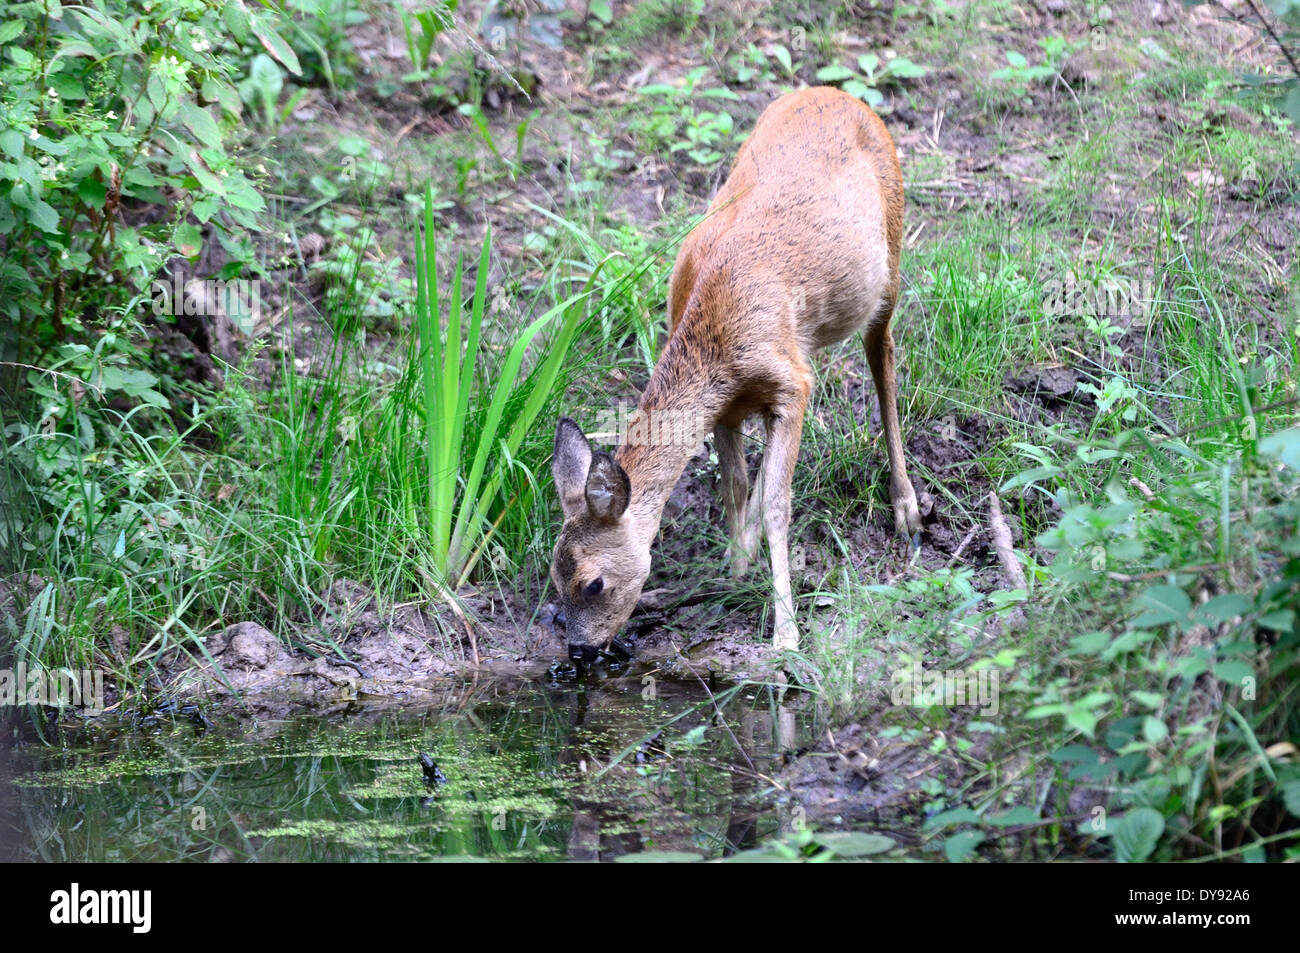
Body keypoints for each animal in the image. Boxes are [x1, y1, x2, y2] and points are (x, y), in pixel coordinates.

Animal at [548, 86, 921, 664]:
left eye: (593, 583)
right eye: (552, 577)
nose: (579, 652)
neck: (714, 343)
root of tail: (836, 93)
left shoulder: (792, 384)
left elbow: (776, 506)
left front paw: (786, 633)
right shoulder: (725, 409)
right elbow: (735, 485)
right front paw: (738, 563)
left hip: (892, 250)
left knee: (883, 358)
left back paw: (907, 507)